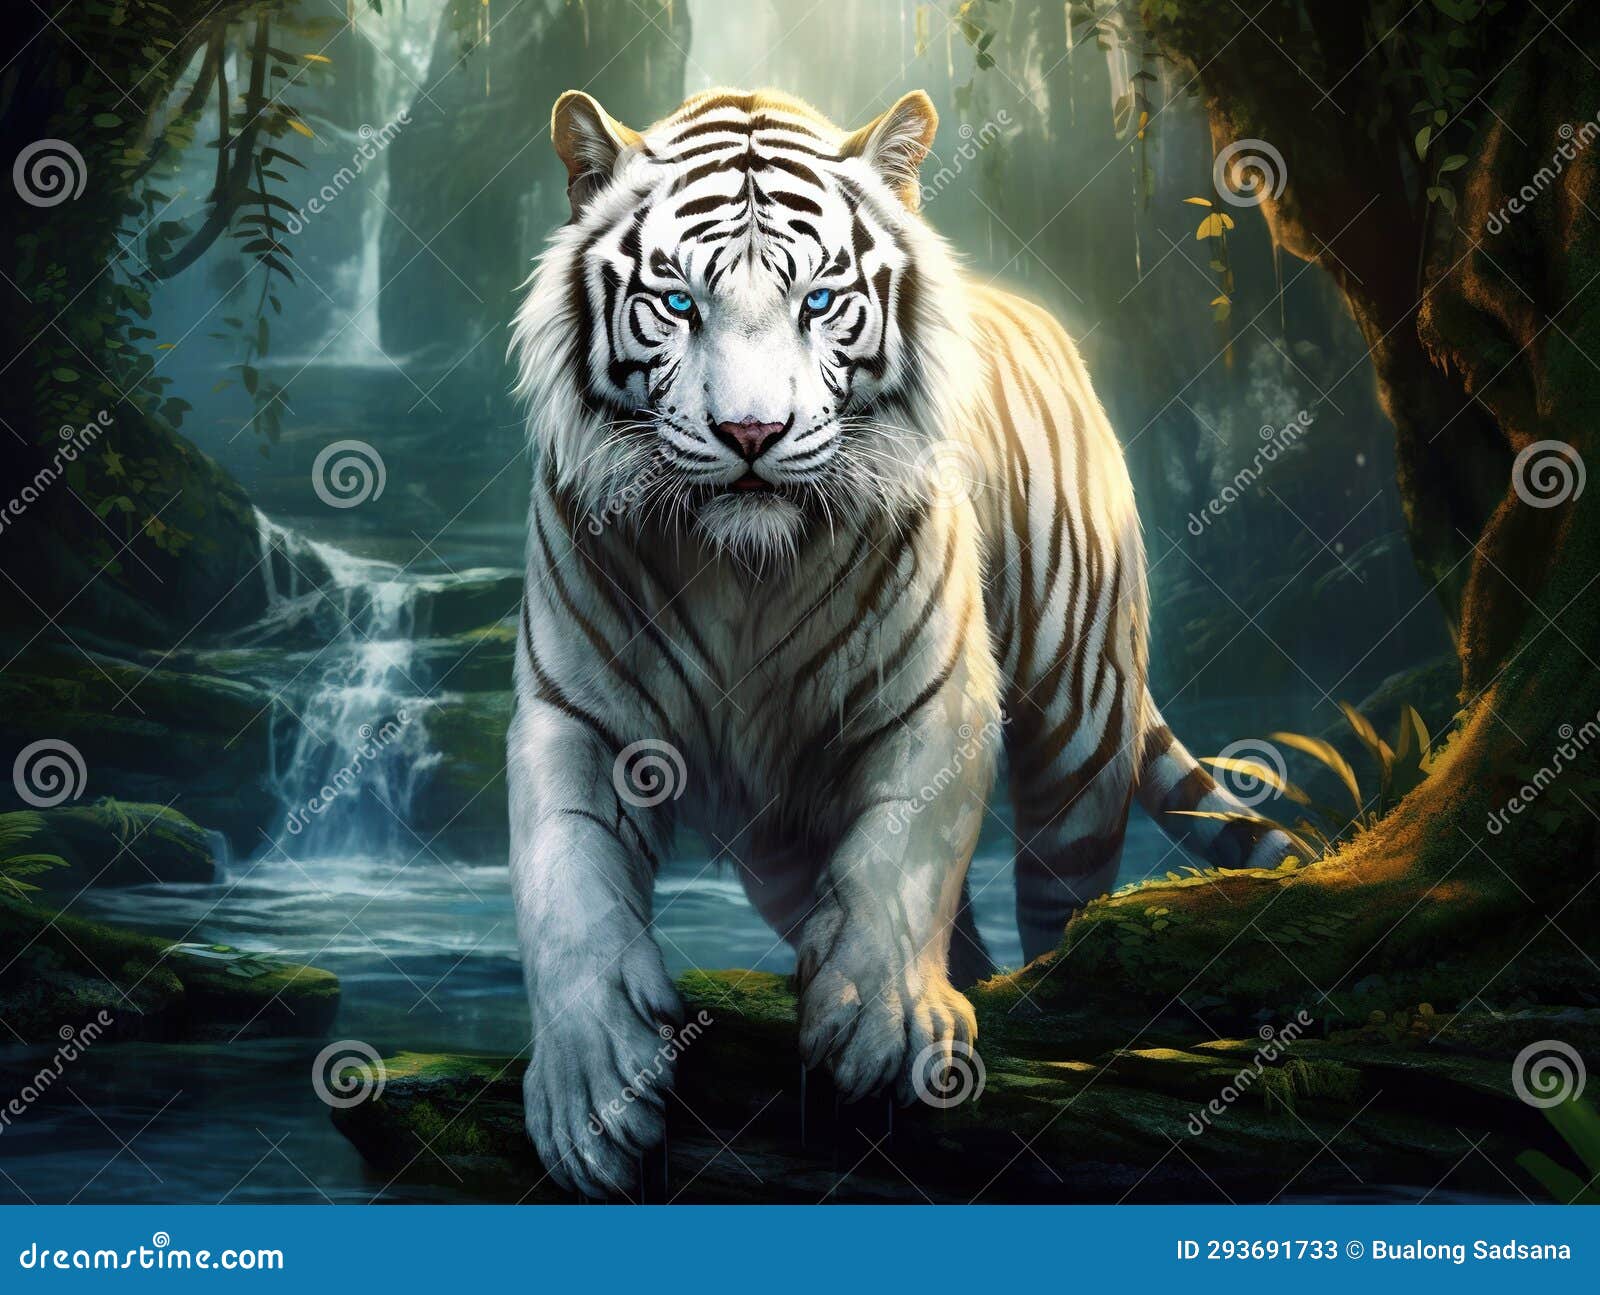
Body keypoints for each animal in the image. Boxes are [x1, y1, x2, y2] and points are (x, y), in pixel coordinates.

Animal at [507, 86, 1295, 1197]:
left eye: (819, 302)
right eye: (679, 305)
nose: (752, 434)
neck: (747, 567)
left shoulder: (940, 694)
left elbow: (900, 858)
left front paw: (883, 1023)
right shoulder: (577, 716)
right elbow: (565, 883)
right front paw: (588, 1090)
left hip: (1078, 728)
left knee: (1062, 900)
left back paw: (1044, 1004)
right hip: (776, 837)